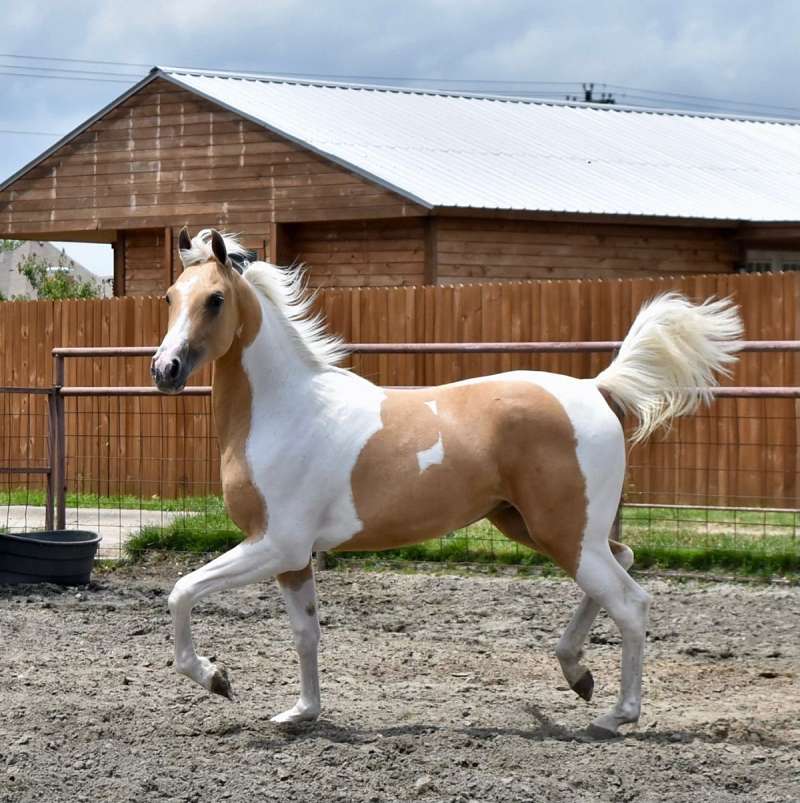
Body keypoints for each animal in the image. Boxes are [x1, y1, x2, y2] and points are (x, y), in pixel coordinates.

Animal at [151, 227, 742, 738]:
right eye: (170, 296)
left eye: (215, 300)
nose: (165, 370)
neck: (284, 411)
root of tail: (595, 388)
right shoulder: (293, 559)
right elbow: (306, 632)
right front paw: (301, 713)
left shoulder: (276, 545)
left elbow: (182, 591)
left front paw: (216, 678)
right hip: (538, 527)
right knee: (623, 562)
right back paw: (577, 673)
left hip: (565, 535)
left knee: (630, 602)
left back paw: (615, 715)